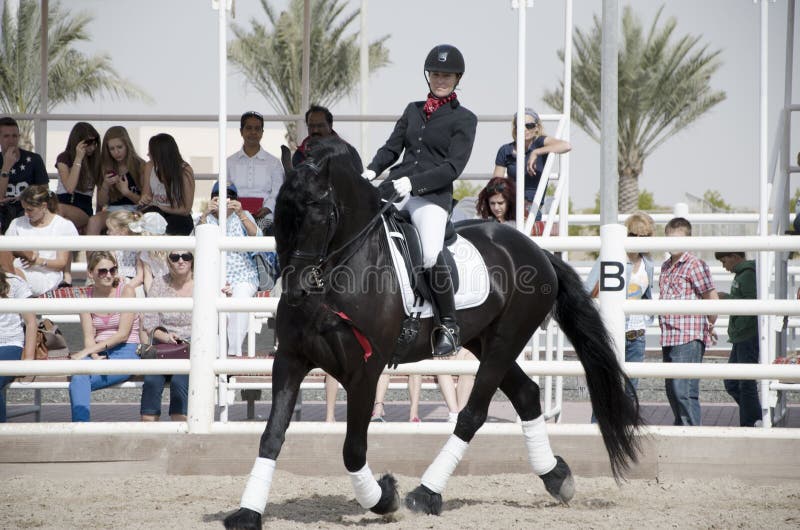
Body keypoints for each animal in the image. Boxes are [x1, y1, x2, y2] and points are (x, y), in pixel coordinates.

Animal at [224, 138, 642, 529]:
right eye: (278, 217)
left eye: (319, 215)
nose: (295, 290)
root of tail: (539, 253)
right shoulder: (290, 361)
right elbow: (271, 436)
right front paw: (247, 513)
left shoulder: (365, 371)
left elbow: (353, 449)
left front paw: (384, 497)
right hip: (483, 341)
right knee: (525, 393)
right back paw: (556, 477)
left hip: (505, 342)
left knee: (472, 415)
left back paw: (426, 493)